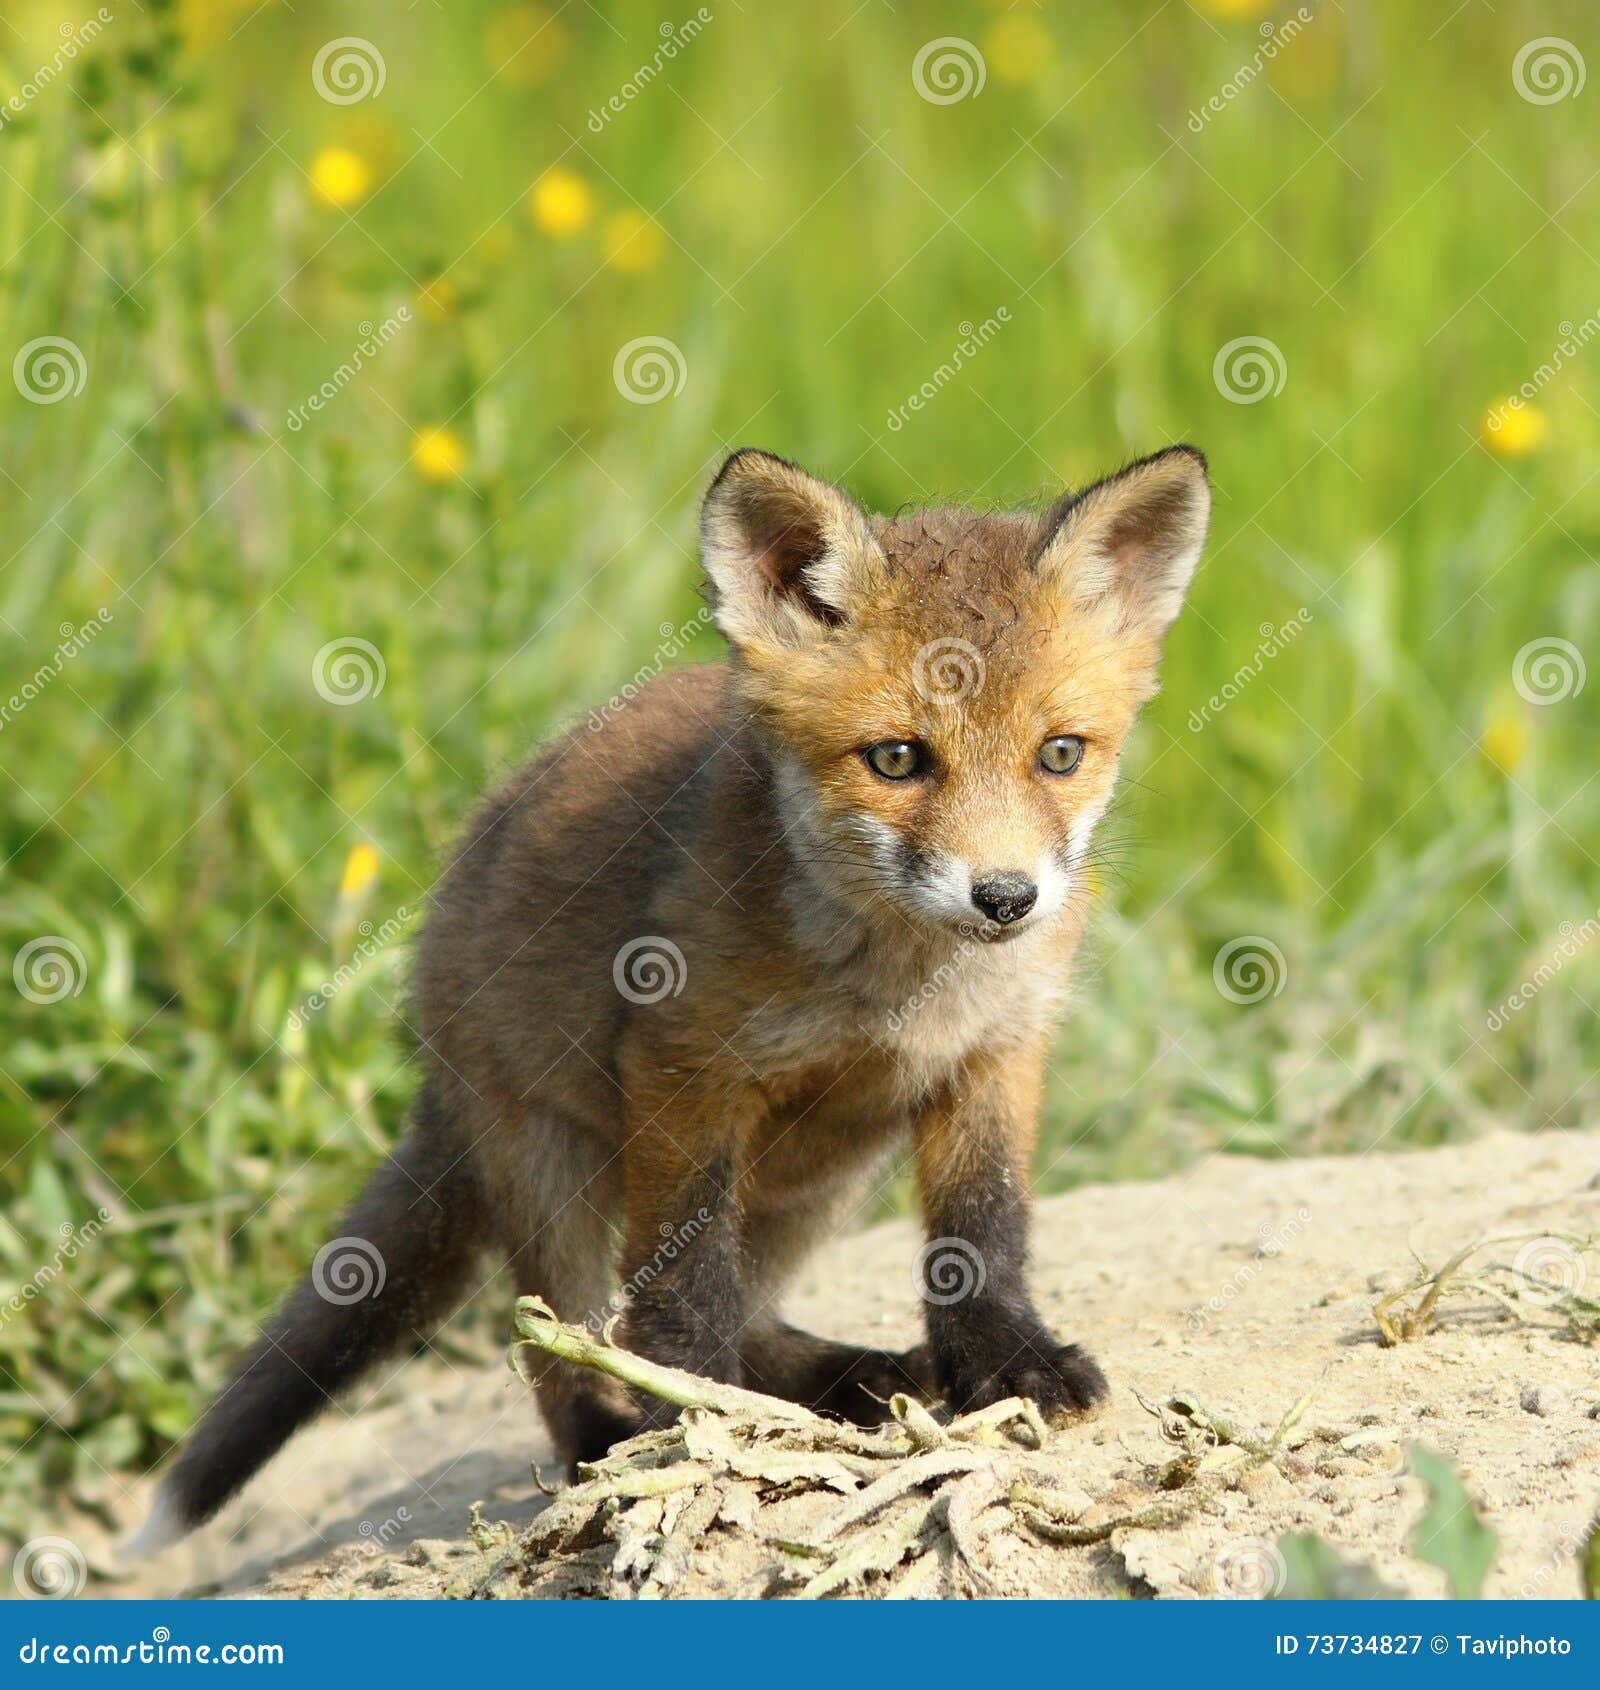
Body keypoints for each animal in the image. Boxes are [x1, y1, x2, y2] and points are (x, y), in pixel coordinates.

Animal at [134, 441, 1211, 1552]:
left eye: (1059, 753)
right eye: (897, 758)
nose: (1005, 898)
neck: (898, 989)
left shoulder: (994, 1055)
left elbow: (981, 1233)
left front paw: (1005, 1361)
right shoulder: (683, 1066)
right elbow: (681, 1287)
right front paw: (692, 1421)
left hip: (822, 1177)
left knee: (754, 1312)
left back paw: (839, 1380)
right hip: (548, 1170)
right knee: (568, 1336)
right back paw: (612, 1439)